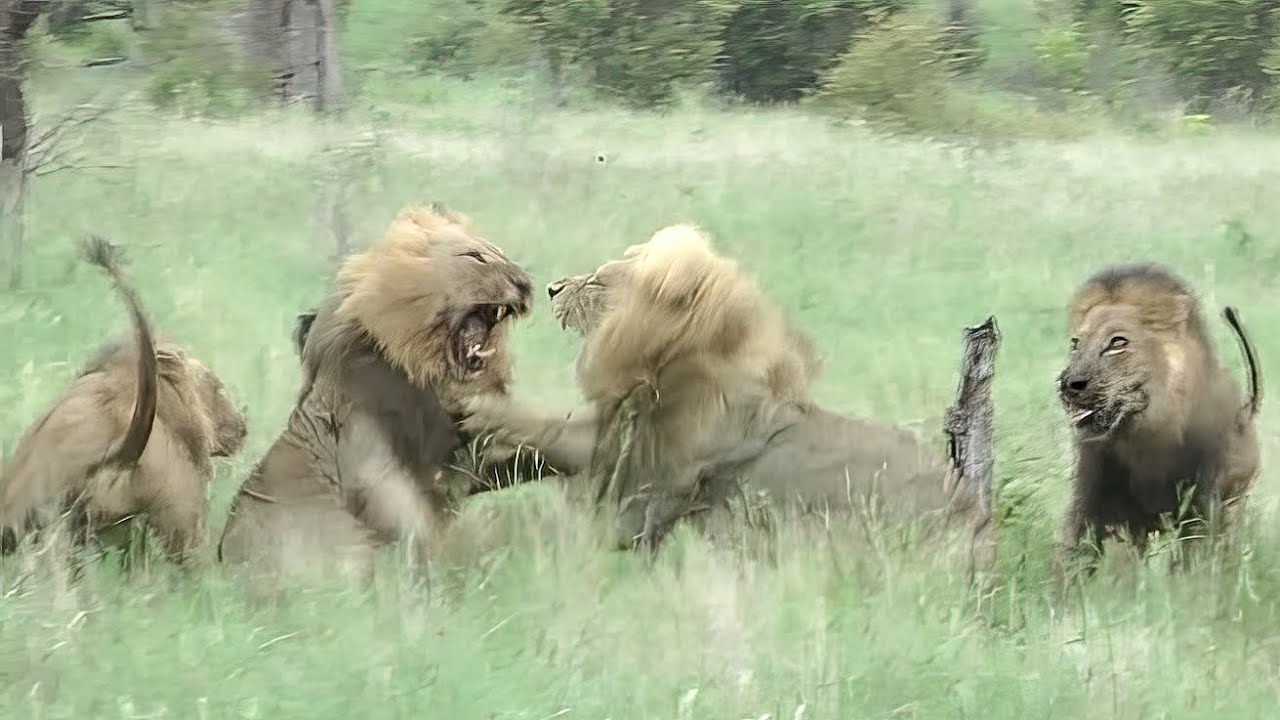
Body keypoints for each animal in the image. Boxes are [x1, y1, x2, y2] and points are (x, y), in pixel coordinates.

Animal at [464, 225, 989, 555]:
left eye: (597, 281)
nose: (552, 289)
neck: (664, 362)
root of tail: (979, 510)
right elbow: (541, 439)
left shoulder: (649, 481)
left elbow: (550, 433)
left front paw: (476, 408)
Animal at [1055, 263, 1261, 574]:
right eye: (1075, 344)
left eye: (1117, 343)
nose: (1070, 384)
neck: (1148, 439)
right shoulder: (1104, 506)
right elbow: (1085, 557)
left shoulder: (1204, 503)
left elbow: (1195, 557)